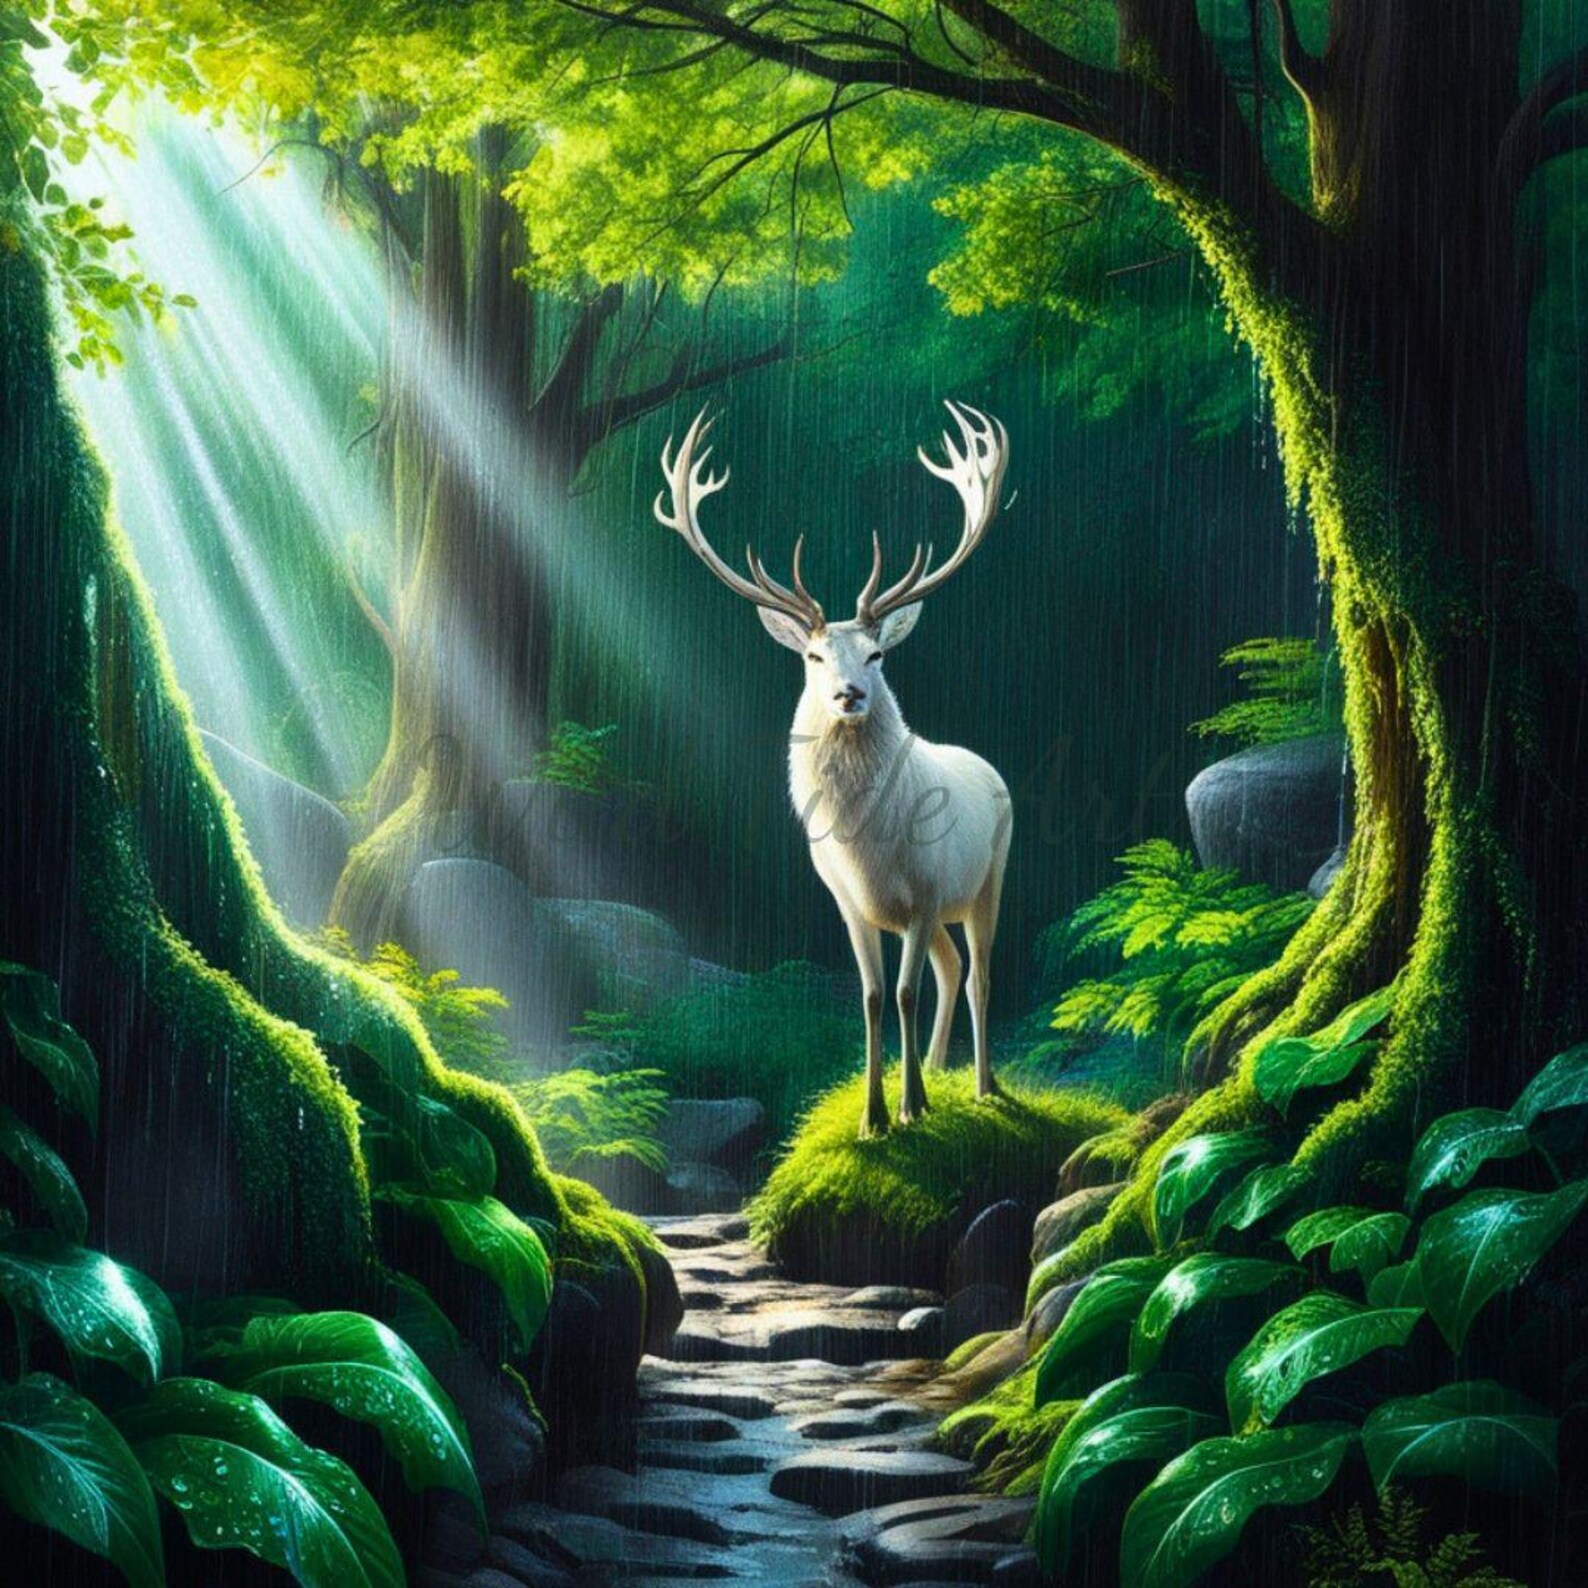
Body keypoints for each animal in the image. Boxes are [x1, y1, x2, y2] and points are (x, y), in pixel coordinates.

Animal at [654, 401, 1013, 1137]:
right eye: (814, 656)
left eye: (877, 655)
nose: (849, 695)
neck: (868, 847)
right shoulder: (848, 901)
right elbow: (874, 996)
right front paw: (877, 1113)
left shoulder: (925, 891)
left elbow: (903, 992)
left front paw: (909, 1107)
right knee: (951, 967)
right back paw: (940, 1073)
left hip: (988, 875)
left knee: (979, 972)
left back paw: (983, 1086)